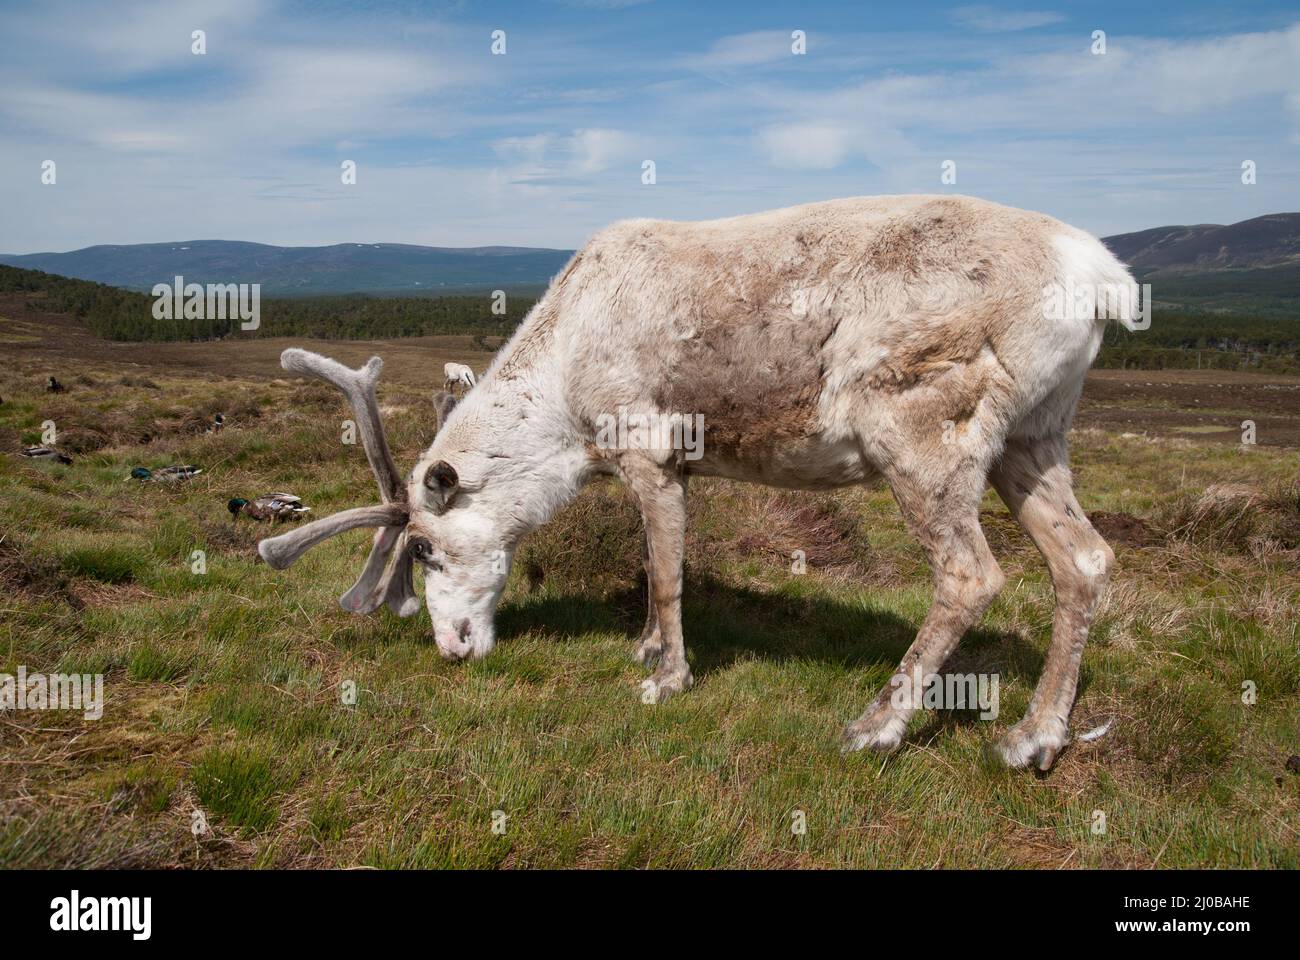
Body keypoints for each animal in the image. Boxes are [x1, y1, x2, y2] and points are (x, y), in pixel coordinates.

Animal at [259, 195, 1137, 770]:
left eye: (426, 549)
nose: (452, 648)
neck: (564, 399)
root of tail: (1103, 277)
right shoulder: (667, 464)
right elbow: (655, 565)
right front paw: (643, 647)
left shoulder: (647, 446)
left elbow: (669, 571)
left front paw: (668, 678)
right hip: (1035, 434)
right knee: (1085, 560)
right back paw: (1033, 740)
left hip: (924, 428)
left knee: (970, 573)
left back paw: (873, 727)